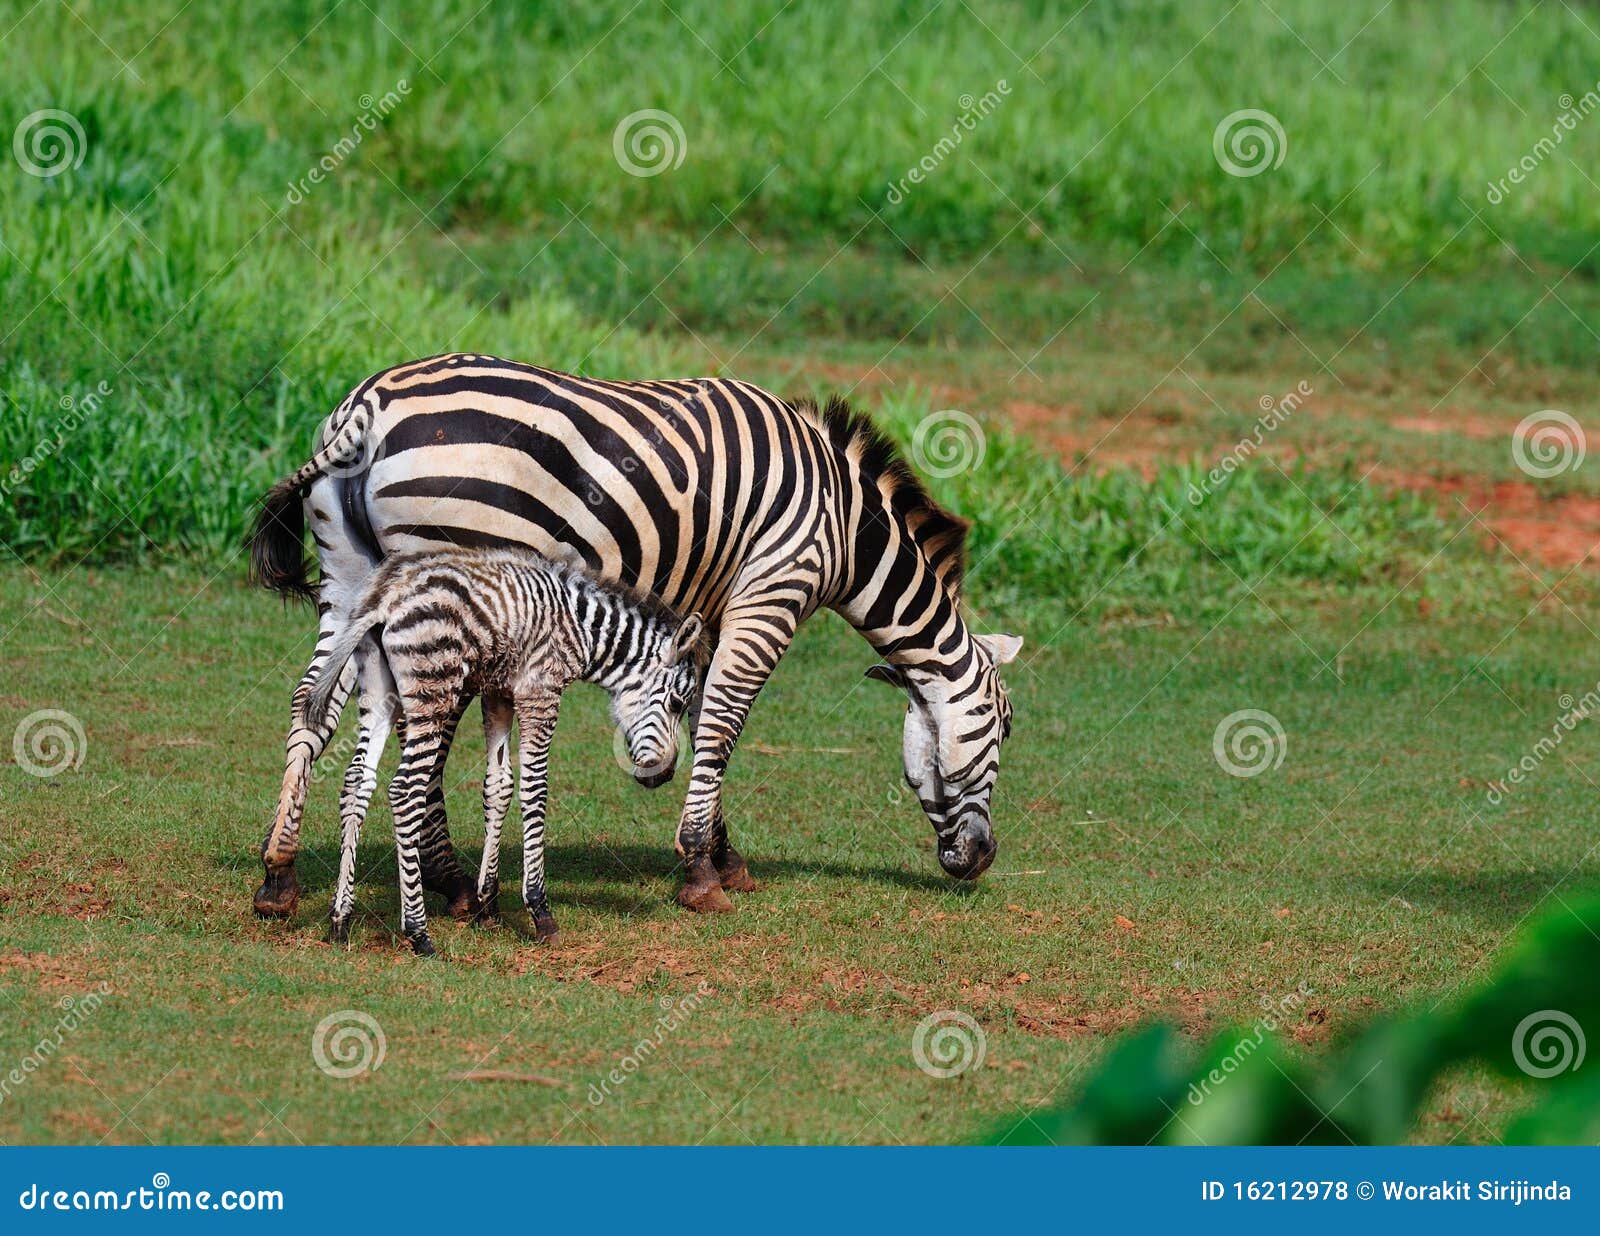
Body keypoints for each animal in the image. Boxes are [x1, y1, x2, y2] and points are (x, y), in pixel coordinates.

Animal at [304, 547, 703, 954]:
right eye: (677, 703)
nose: (664, 775)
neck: (579, 628)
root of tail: (386, 596)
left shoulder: (498, 695)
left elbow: (499, 787)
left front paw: (487, 906)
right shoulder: (540, 694)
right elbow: (534, 791)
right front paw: (539, 911)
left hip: (377, 693)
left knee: (357, 783)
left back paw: (340, 920)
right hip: (432, 692)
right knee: (404, 791)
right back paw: (417, 932)